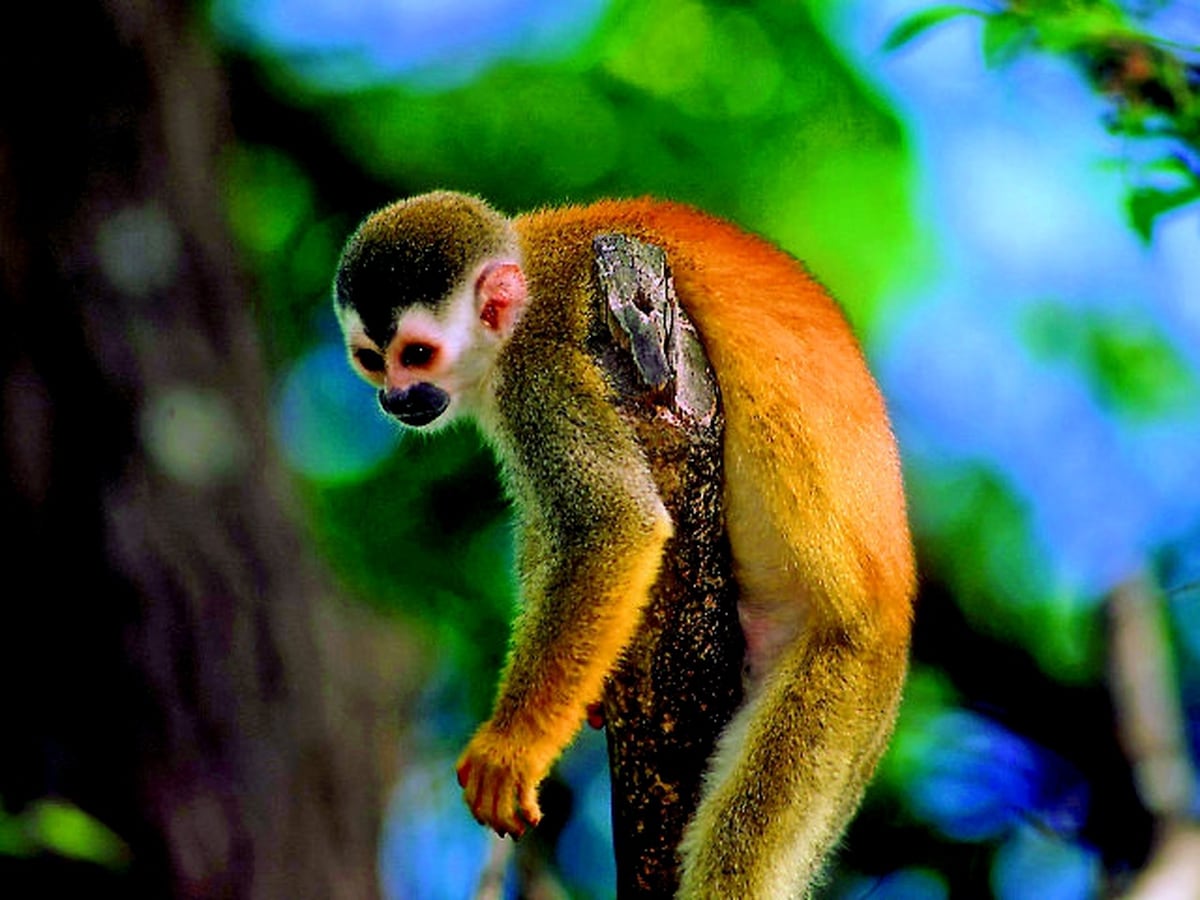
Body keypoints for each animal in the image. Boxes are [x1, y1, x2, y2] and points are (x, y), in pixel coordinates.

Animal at [333, 191, 915, 898]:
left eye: (416, 354)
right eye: (372, 358)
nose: (396, 398)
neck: (528, 286)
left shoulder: (540, 366)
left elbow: (615, 524)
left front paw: (511, 748)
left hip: (841, 684)